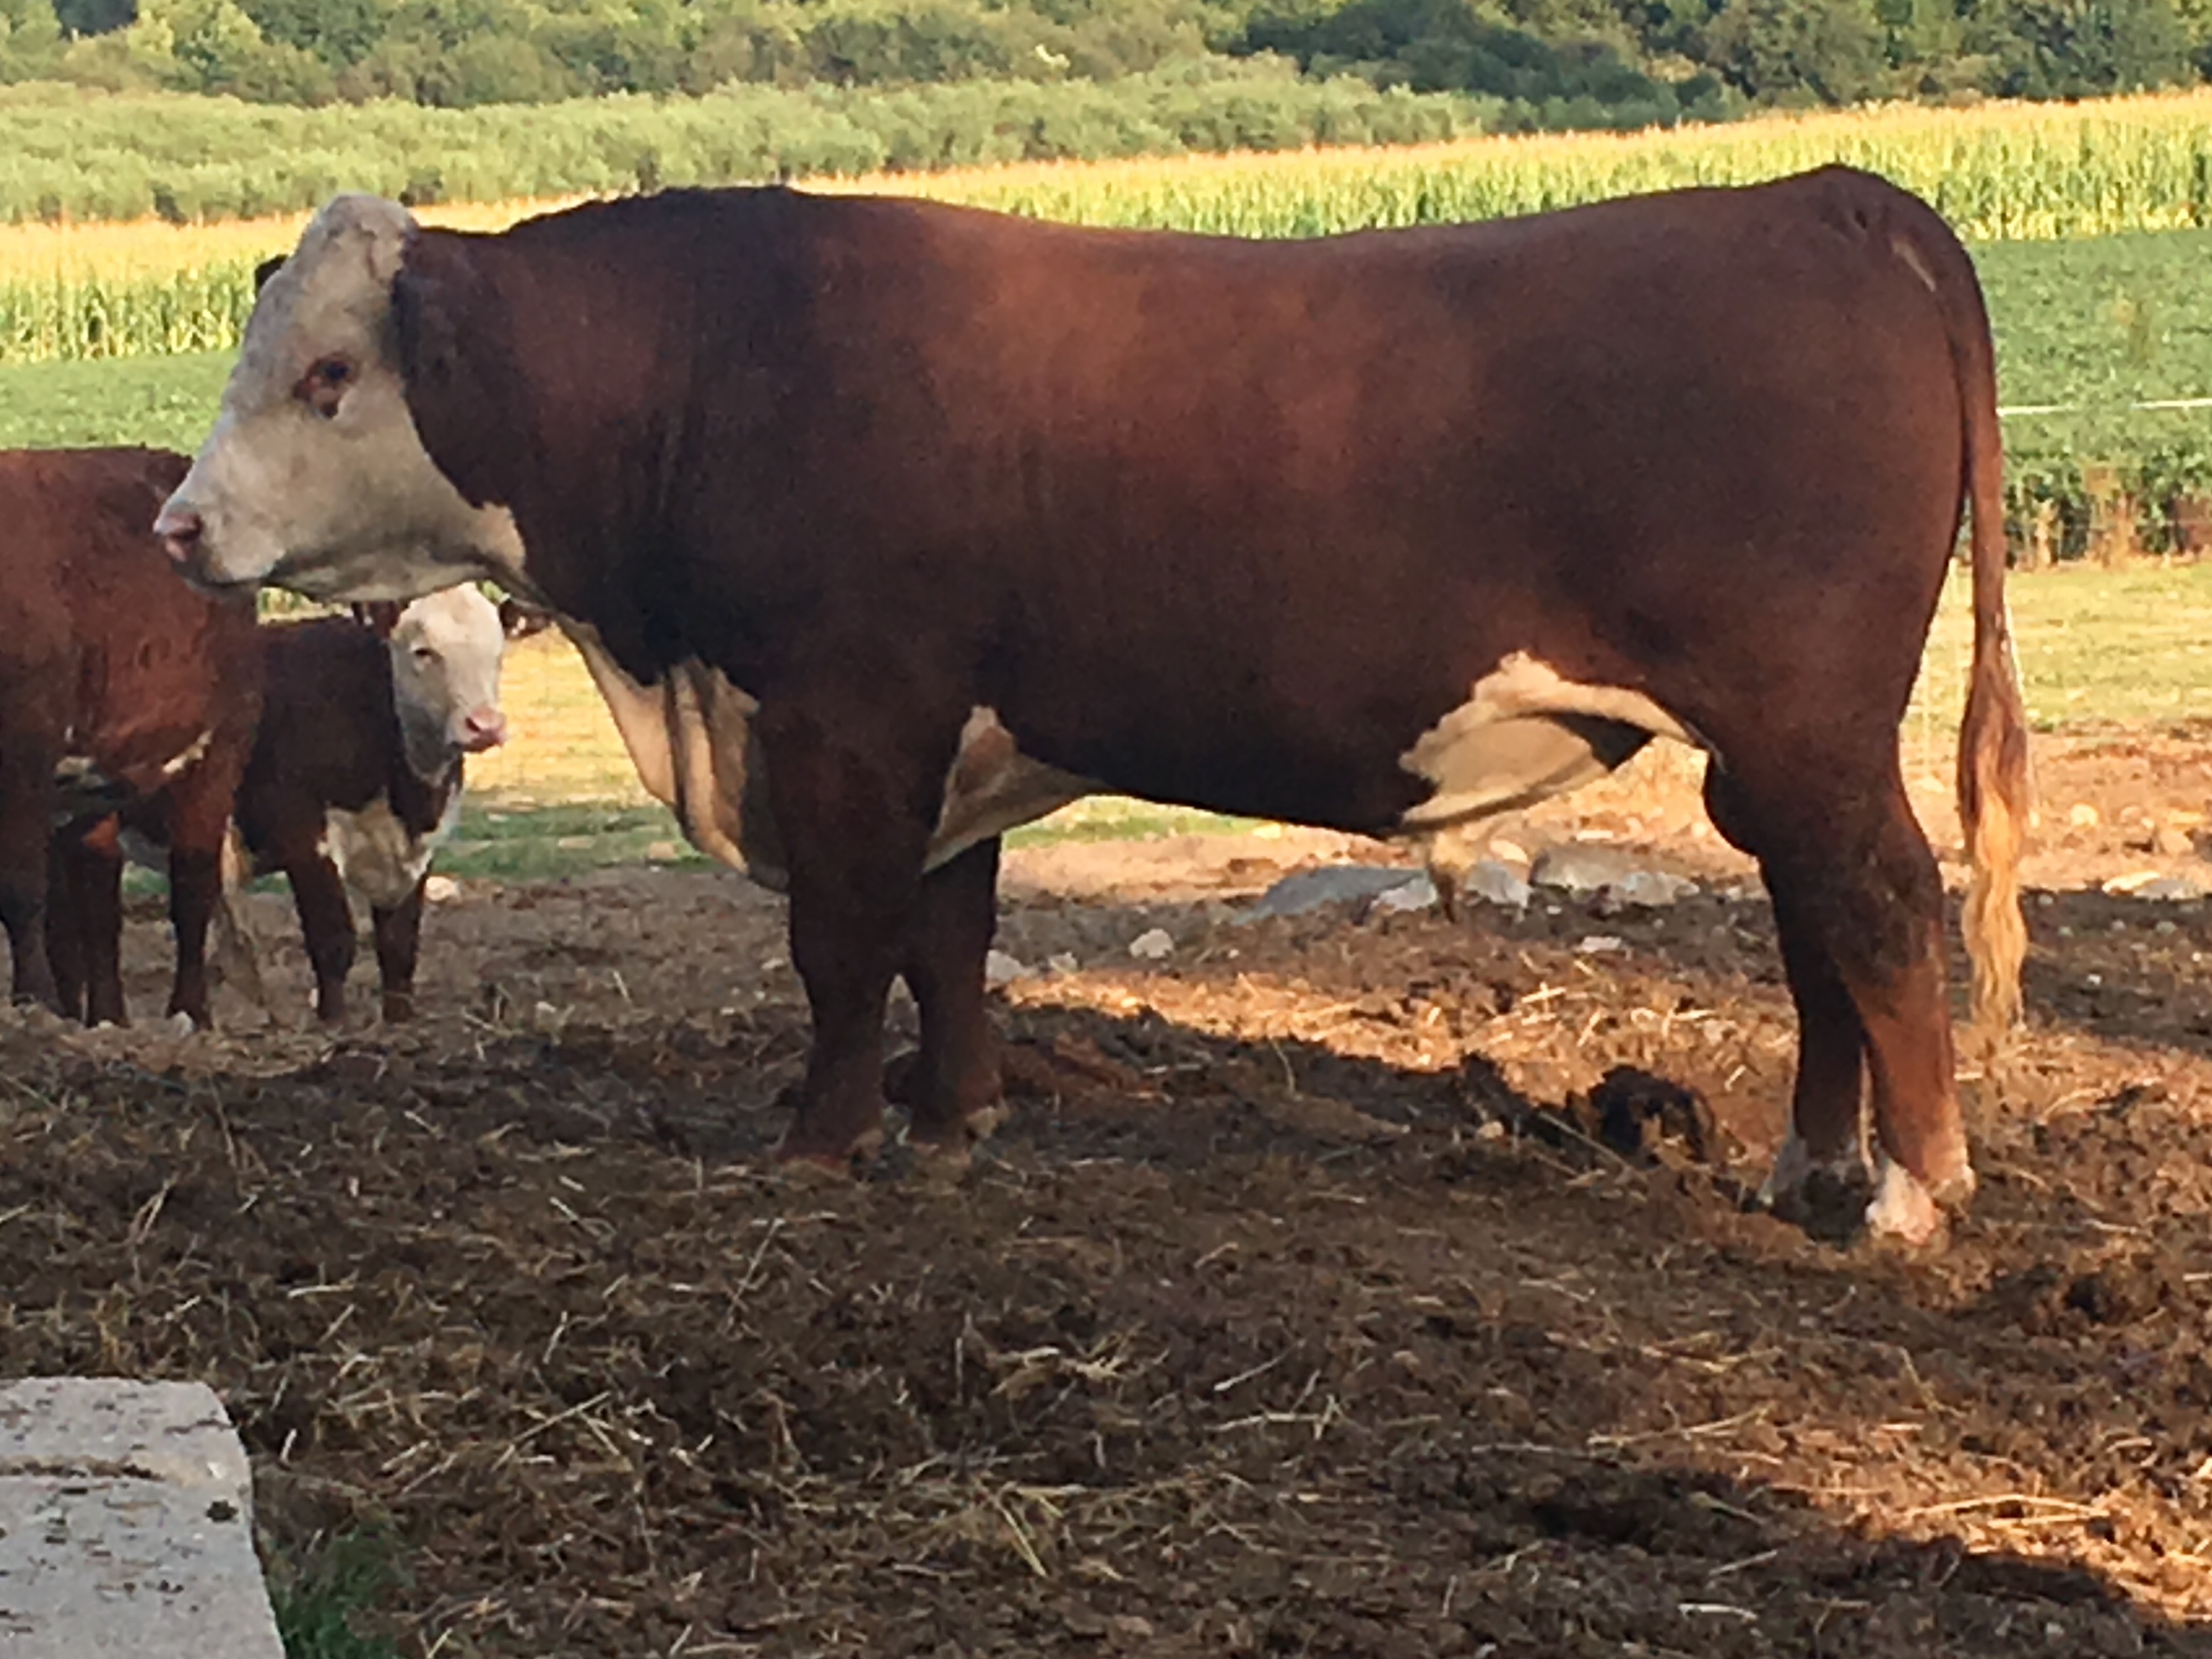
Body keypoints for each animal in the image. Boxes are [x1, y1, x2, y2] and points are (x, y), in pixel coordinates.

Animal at [0, 447, 262, 1028]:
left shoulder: (25, 754)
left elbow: (21, 890)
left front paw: (34, 1003)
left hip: (220, 749)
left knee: (193, 886)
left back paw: (189, 1013)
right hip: (95, 778)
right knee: (99, 900)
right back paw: (107, 1018)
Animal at [154, 169, 2031, 1244]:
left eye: (329, 374)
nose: (180, 525)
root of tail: (1833, 195)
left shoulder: (847, 713)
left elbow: (844, 943)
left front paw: (819, 1145)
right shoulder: (948, 736)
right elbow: (945, 933)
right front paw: (951, 1123)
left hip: (1799, 714)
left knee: (1876, 901)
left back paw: (1911, 1197)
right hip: (1773, 741)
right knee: (1813, 916)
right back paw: (1810, 1169)